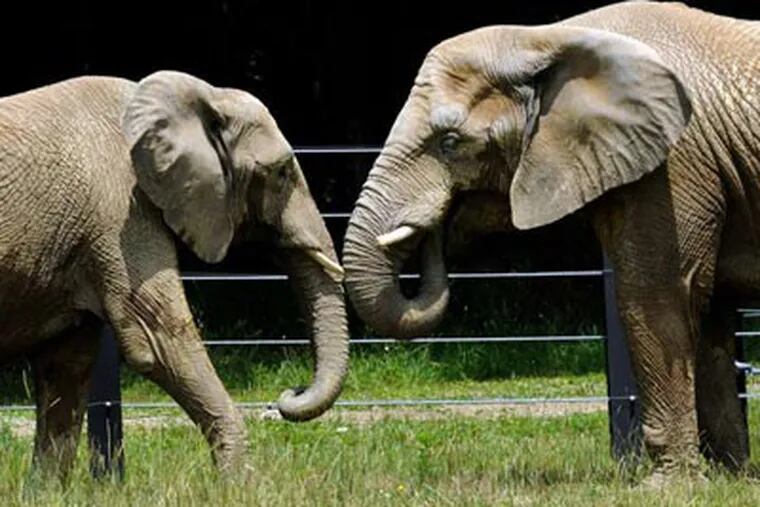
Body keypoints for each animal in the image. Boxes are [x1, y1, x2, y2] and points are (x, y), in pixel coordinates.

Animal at [0, 71, 349, 478]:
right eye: (280, 173)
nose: (289, 393)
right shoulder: (121, 213)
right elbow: (160, 340)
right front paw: (237, 484)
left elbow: (65, 367)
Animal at [342, 1, 759, 483]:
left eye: (449, 143)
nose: (438, 225)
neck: (546, 38)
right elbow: (709, 312)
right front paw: (729, 478)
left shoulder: (674, 164)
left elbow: (658, 296)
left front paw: (666, 486)